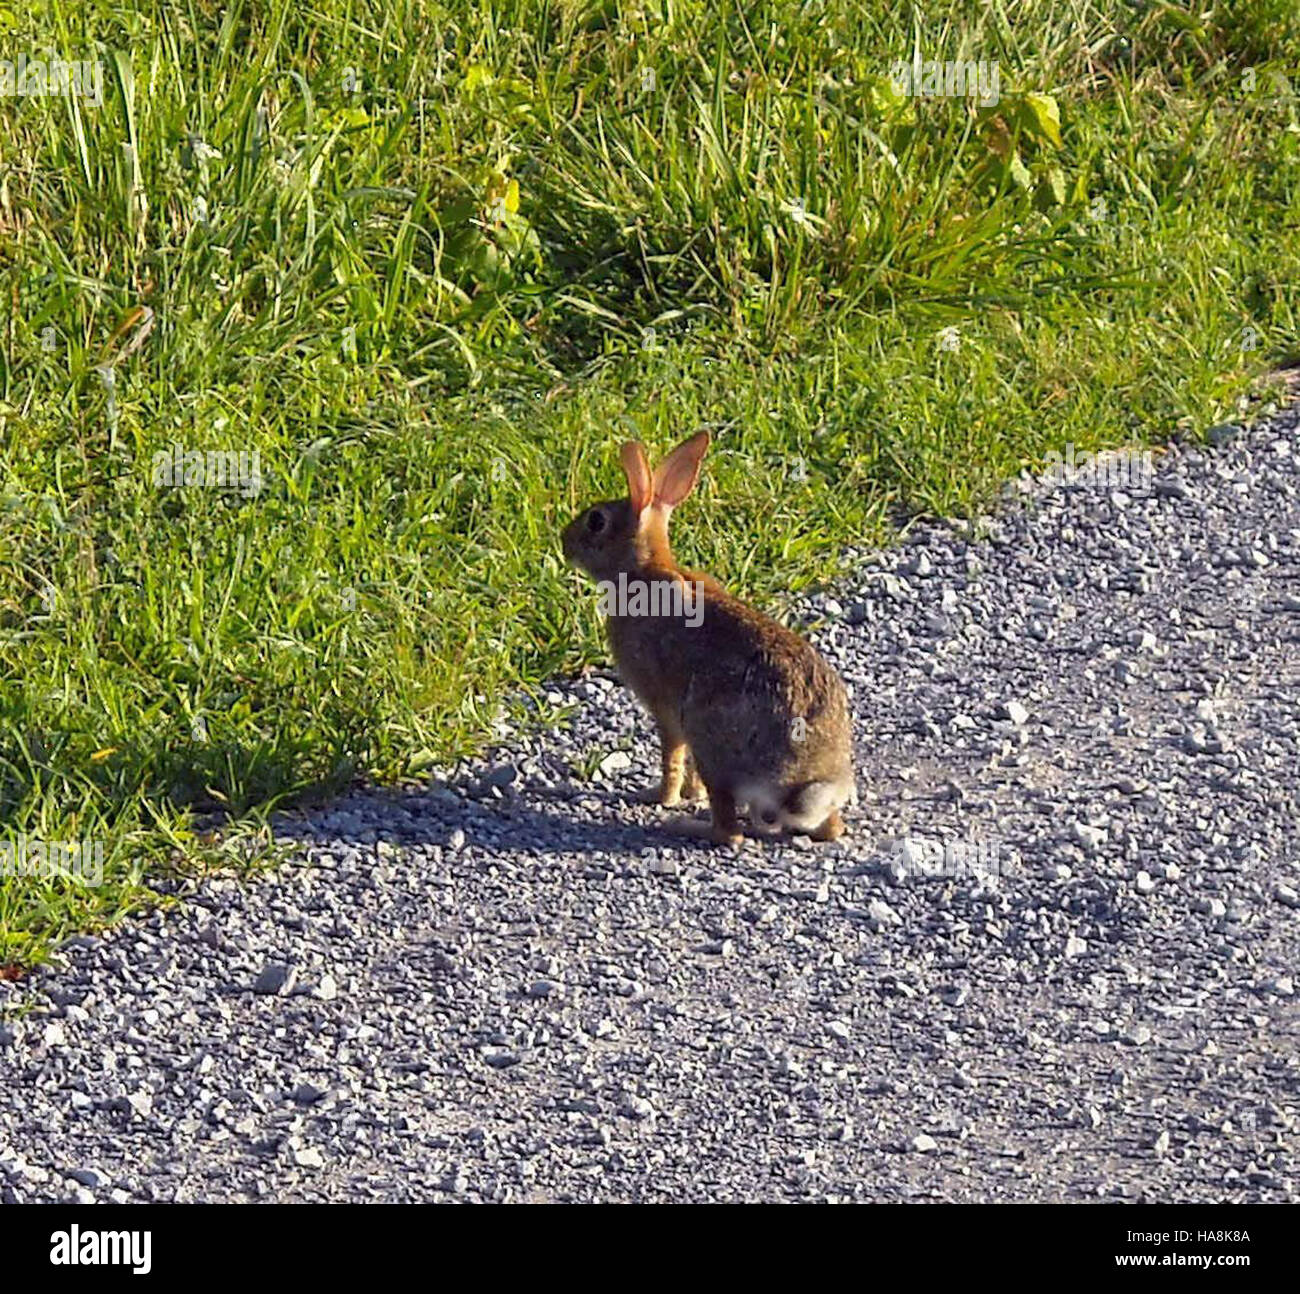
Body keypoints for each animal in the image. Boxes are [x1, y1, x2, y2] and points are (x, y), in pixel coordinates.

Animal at [562, 430, 855, 846]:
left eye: (596, 521)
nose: (564, 542)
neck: (641, 569)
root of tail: (799, 781)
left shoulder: (665, 708)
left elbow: (671, 755)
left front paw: (661, 797)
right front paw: (691, 794)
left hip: (711, 738)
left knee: (729, 830)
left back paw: (688, 825)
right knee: (830, 828)